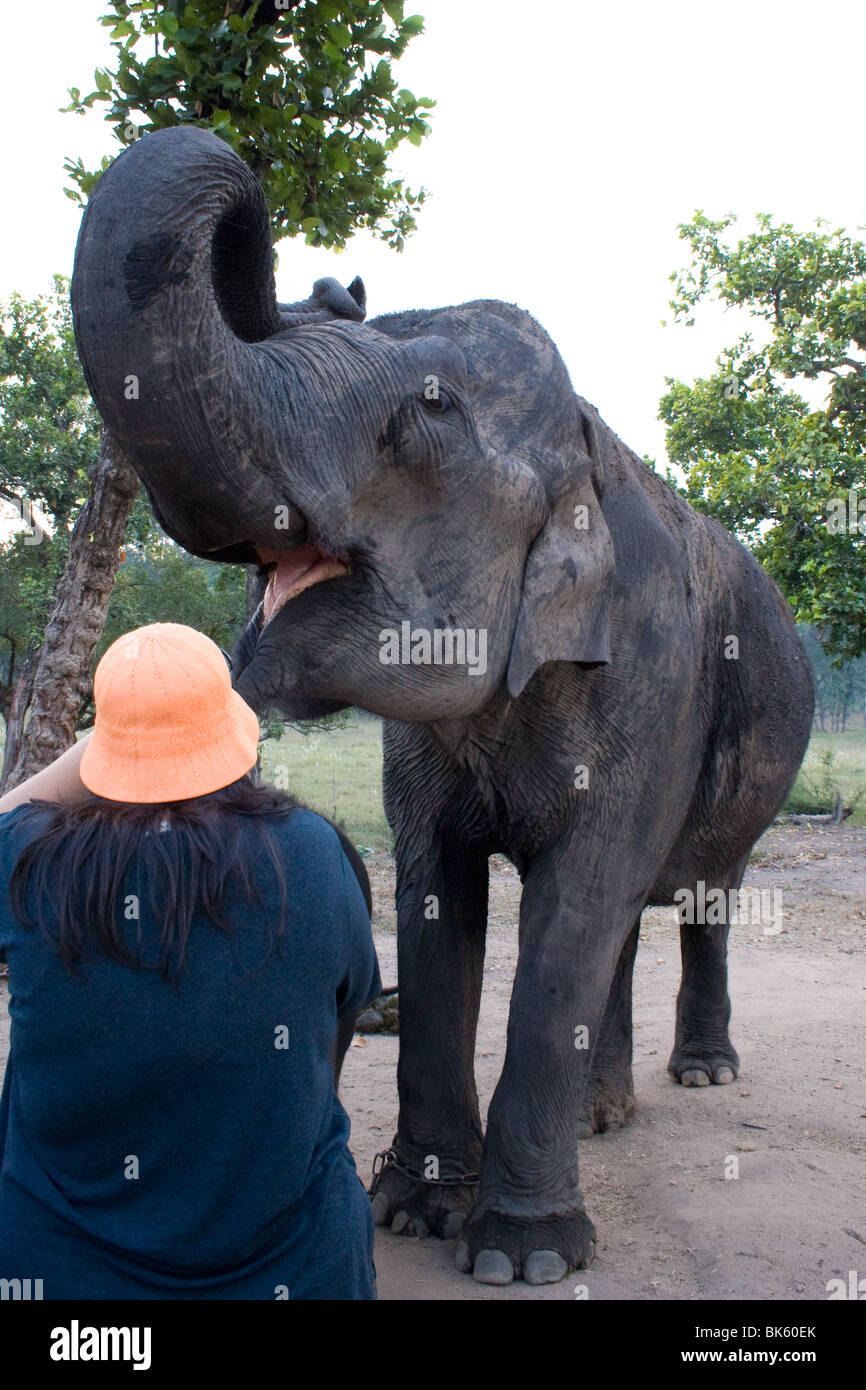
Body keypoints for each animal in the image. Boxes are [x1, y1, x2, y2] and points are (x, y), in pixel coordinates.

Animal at [71, 127, 814, 1287]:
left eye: (427, 407)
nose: (330, 283)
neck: (589, 446)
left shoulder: (654, 675)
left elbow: (573, 907)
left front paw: (523, 1257)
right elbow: (436, 900)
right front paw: (416, 1213)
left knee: (692, 895)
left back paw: (699, 1075)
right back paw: (602, 1114)